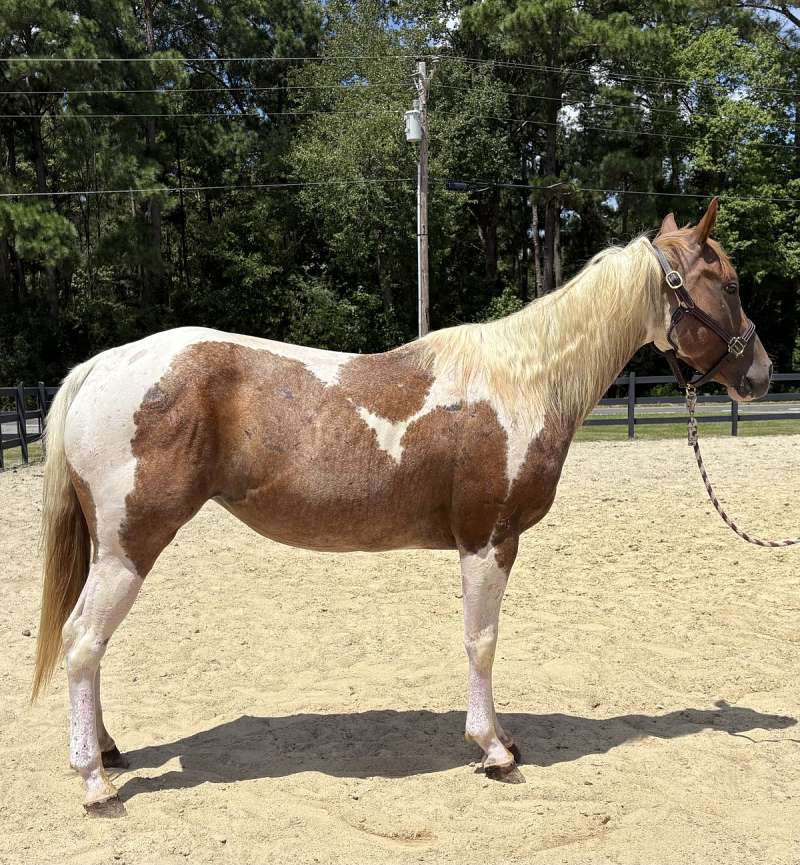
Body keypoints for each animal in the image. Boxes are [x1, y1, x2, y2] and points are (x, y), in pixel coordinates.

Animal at [32, 198, 772, 813]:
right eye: (730, 283)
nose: (762, 373)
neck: (523, 381)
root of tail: (101, 367)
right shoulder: (489, 540)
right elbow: (481, 641)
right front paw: (493, 749)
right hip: (130, 547)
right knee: (82, 641)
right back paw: (94, 781)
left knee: (90, 645)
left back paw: (106, 752)